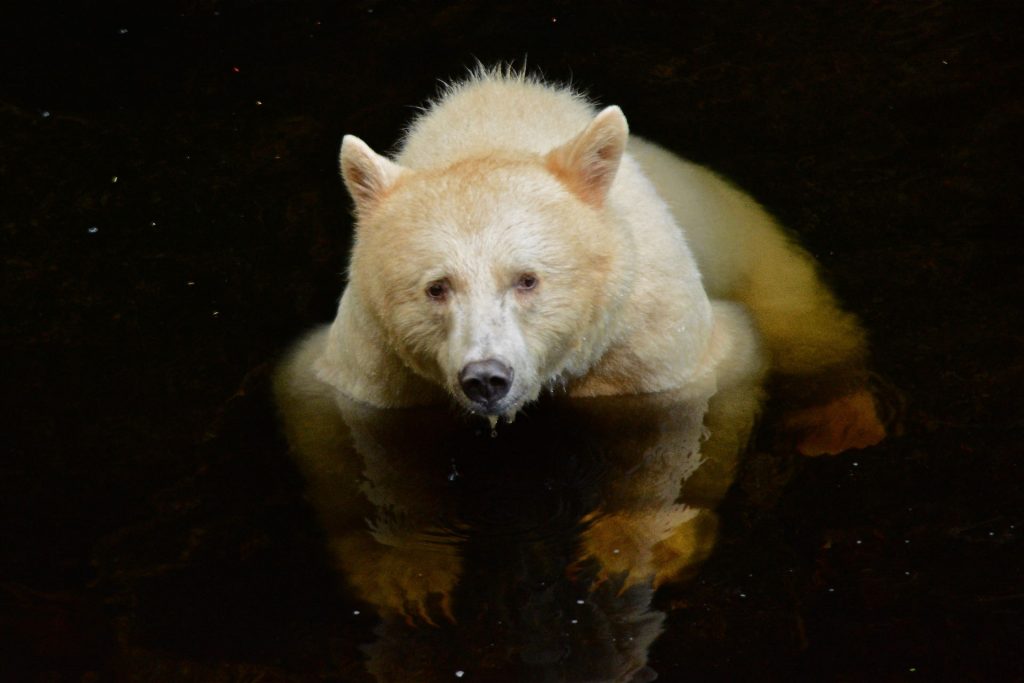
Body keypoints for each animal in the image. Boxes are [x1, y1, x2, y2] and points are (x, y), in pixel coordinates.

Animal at [278, 66, 885, 456]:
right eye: (436, 287)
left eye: (527, 280)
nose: (486, 378)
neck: (489, 129)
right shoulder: (374, 362)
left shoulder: (649, 328)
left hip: (741, 232)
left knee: (798, 315)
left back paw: (842, 418)